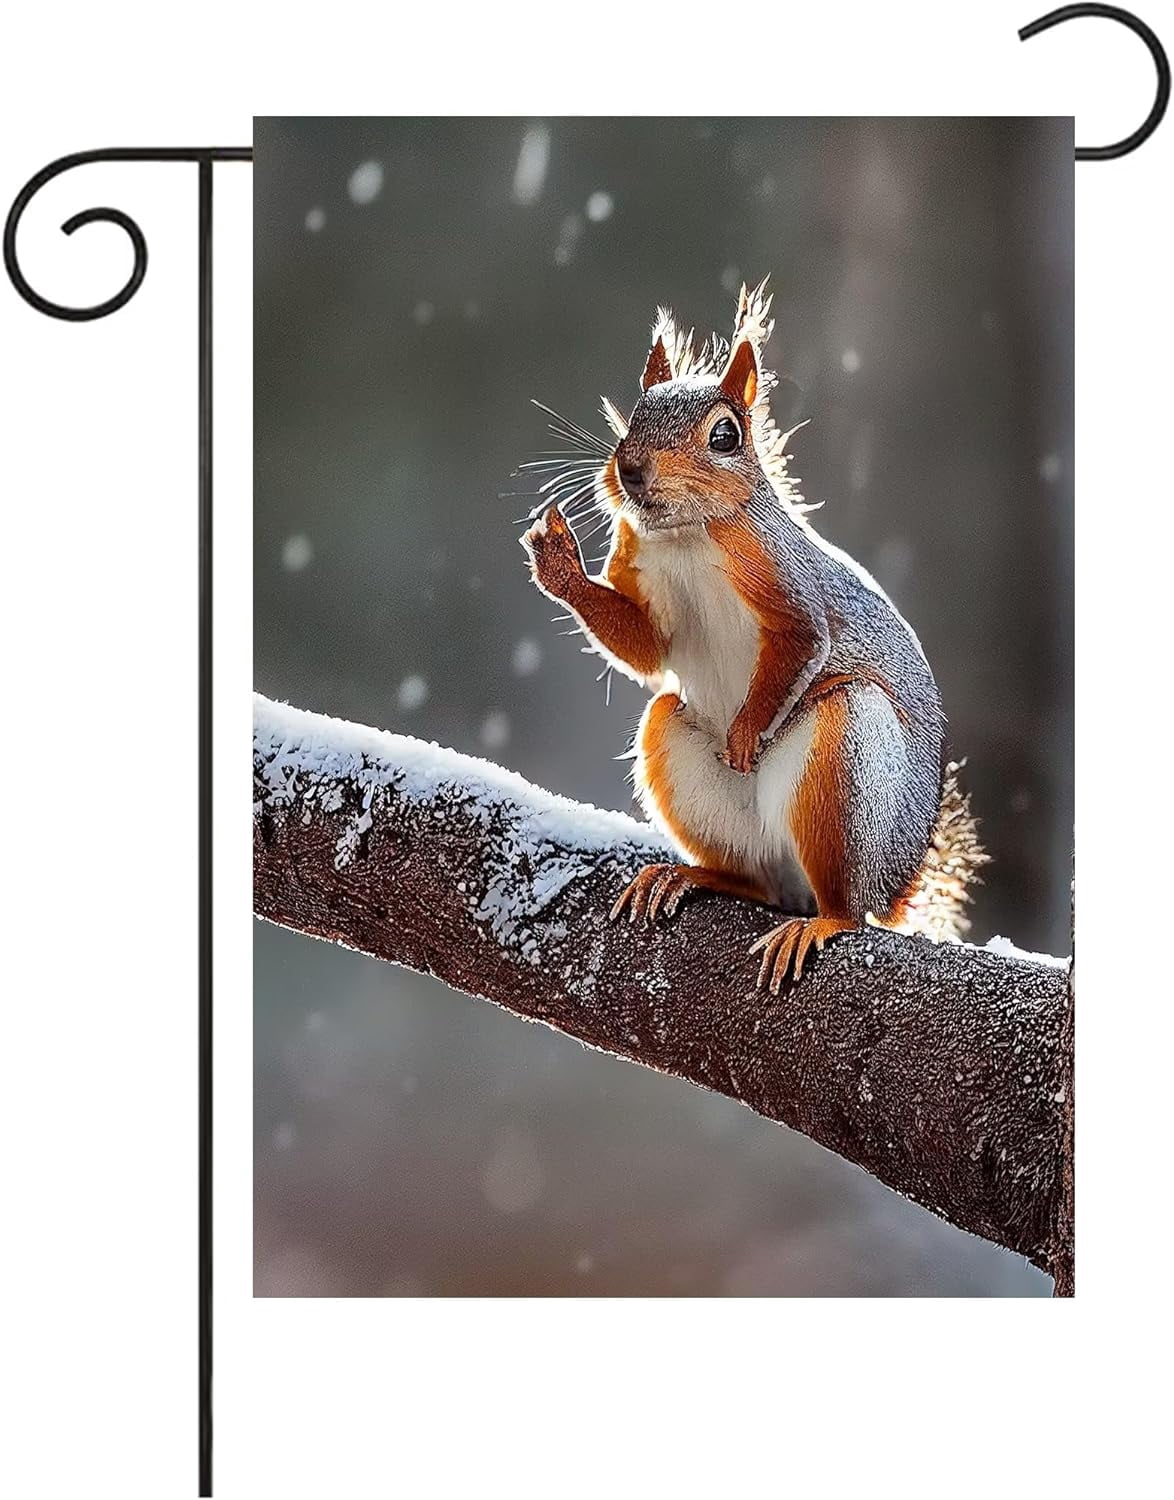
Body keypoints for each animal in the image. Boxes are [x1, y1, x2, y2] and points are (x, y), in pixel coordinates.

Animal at [522, 279, 984, 991]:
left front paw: (745, 733)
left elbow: (803, 642)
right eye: (632, 417)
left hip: (850, 764)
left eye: (725, 435)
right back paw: (689, 877)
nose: (631, 469)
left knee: (841, 902)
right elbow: (649, 651)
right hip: (683, 756)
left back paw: (822, 920)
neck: (688, 533)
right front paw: (558, 562)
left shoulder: (788, 585)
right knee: (755, 878)